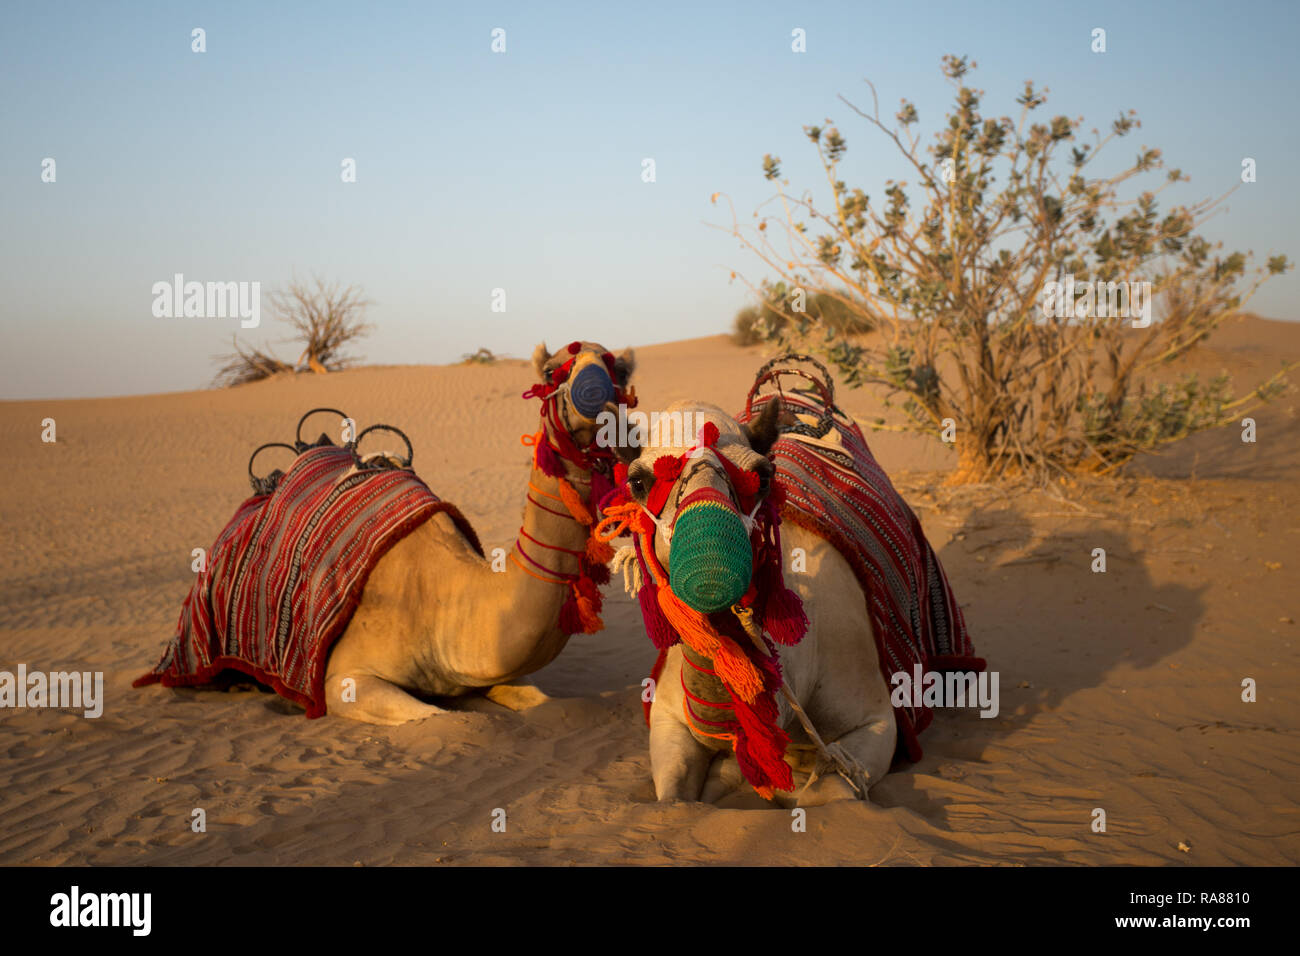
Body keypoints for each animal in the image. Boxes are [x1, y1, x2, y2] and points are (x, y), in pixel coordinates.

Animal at [322, 341, 635, 725]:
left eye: (620, 371)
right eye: (550, 371)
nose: (593, 389)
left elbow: (542, 702)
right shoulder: (344, 678)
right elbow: (435, 717)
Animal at [614, 398, 898, 808]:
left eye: (762, 476)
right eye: (637, 481)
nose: (711, 559)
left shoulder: (877, 719)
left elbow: (829, 789)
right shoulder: (667, 715)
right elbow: (674, 798)